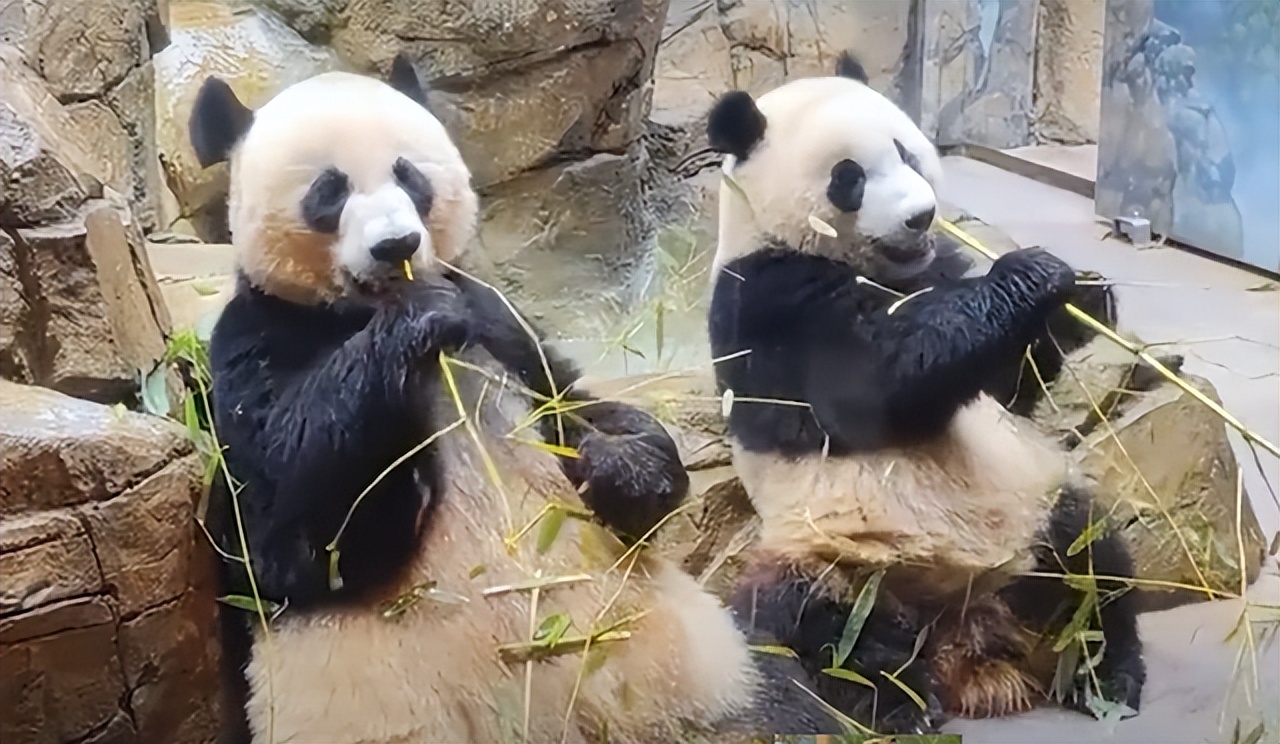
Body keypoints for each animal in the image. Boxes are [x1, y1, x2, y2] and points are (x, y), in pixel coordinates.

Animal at [192, 58, 838, 743]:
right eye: (329, 191)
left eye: (409, 175)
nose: (397, 246)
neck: (362, 312)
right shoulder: (254, 344)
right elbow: (289, 538)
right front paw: (415, 333)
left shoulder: (504, 327)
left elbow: (577, 404)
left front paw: (618, 467)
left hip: (706, 670)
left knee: (784, 703)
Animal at [702, 53, 1146, 734]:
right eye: (849, 178)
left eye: (906, 152)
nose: (921, 216)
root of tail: (965, 641)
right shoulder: (765, 301)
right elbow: (872, 383)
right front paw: (1031, 274)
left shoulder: (939, 268)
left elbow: (1006, 388)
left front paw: (1087, 298)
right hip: (832, 552)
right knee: (814, 617)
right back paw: (902, 703)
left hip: (1035, 515)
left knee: (1092, 567)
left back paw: (1106, 676)